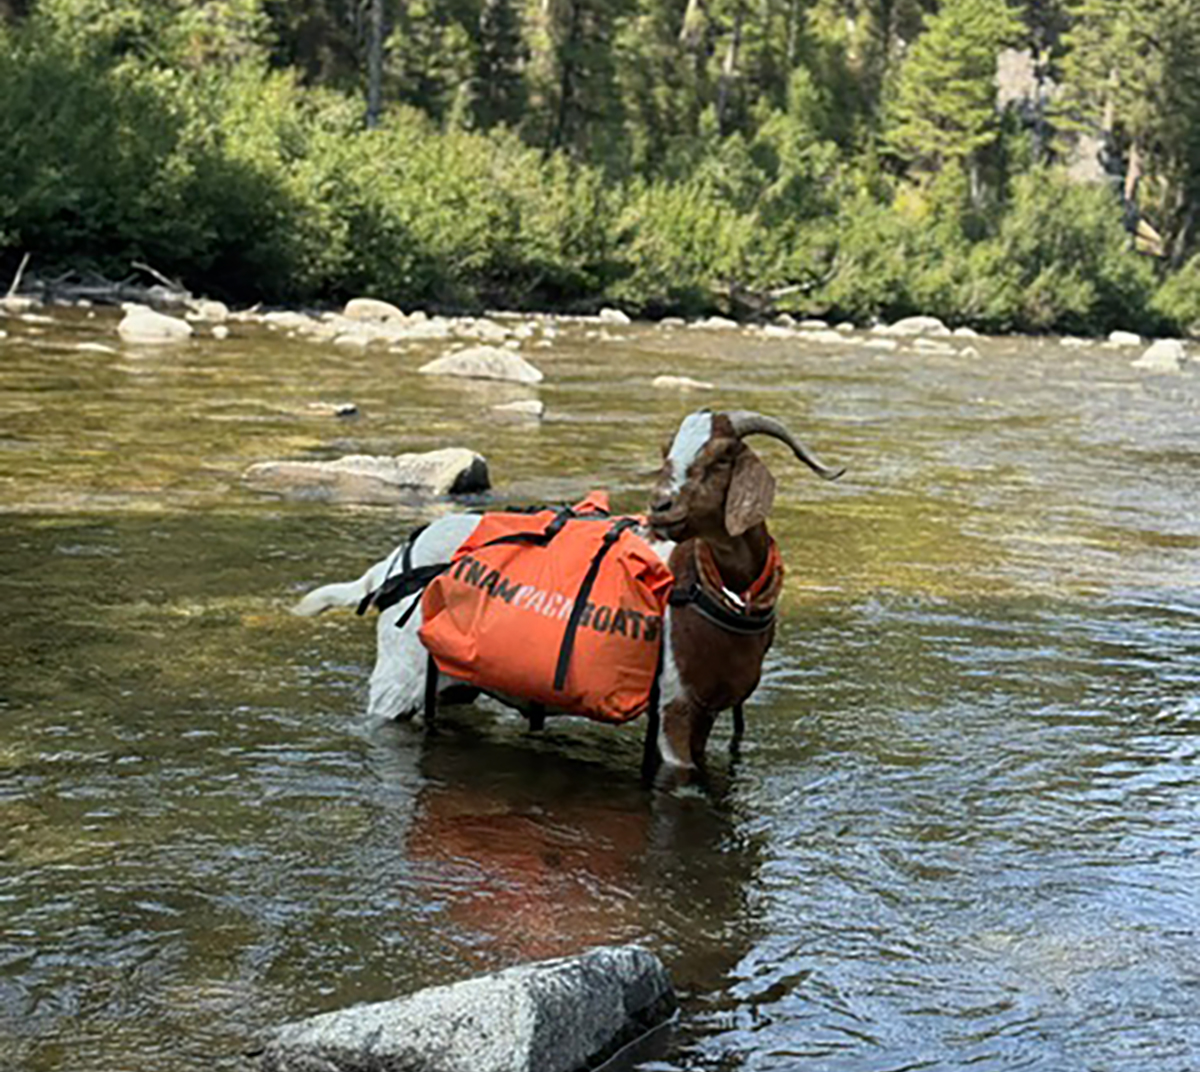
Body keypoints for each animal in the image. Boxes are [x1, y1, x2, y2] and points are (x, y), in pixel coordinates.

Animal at [293, 408, 843, 768]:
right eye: (667, 453)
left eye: (724, 456)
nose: (661, 506)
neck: (711, 589)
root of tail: (389, 566)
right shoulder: (675, 709)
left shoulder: (706, 708)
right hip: (397, 680)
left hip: (454, 684)